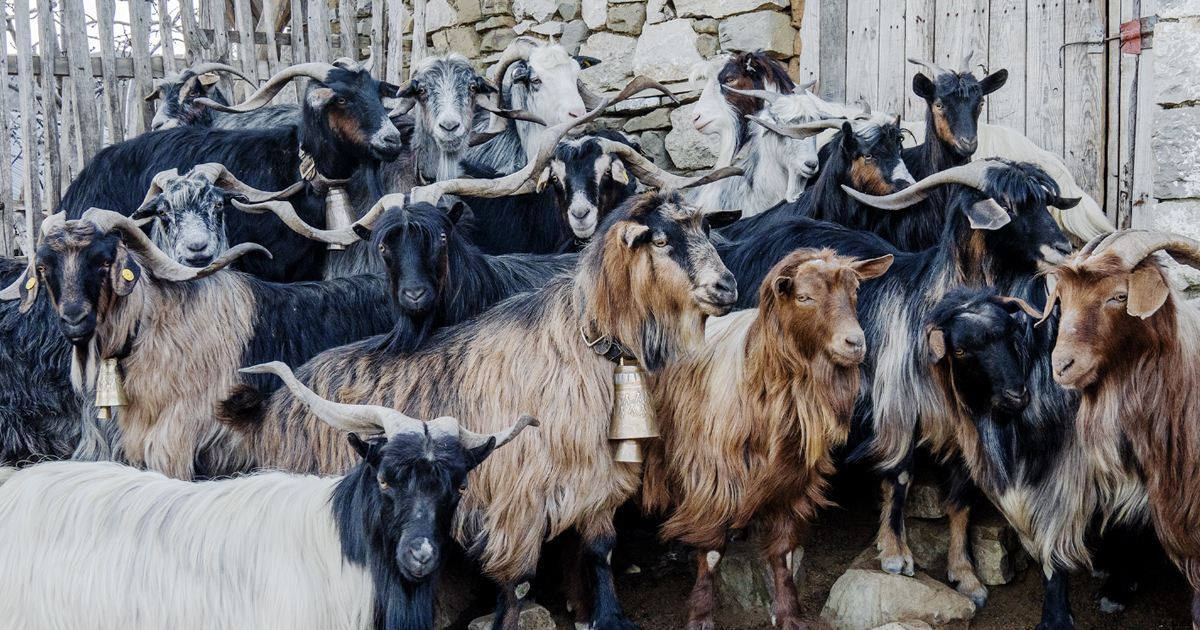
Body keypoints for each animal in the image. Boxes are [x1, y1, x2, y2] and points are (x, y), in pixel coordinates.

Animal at [219, 189, 740, 630]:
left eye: (704, 230)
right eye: (661, 240)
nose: (727, 286)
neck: (581, 343)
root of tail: (273, 402)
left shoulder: (598, 477)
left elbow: (600, 551)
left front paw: (610, 618)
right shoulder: (517, 496)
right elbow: (518, 583)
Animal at [642, 248, 892, 630]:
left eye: (855, 292)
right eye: (804, 297)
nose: (855, 343)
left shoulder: (790, 481)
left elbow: (784, 554)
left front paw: (790, 614)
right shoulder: (713, 478)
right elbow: (711, 552)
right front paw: (701, 616)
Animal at [718, 159, 1078, 604]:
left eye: (1046, 200)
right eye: (1009, 205)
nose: (1064, 248)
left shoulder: (966, 423)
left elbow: (961, 496)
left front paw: (966, 575)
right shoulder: (897, 406)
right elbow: (900, 476)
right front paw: (895, 555)